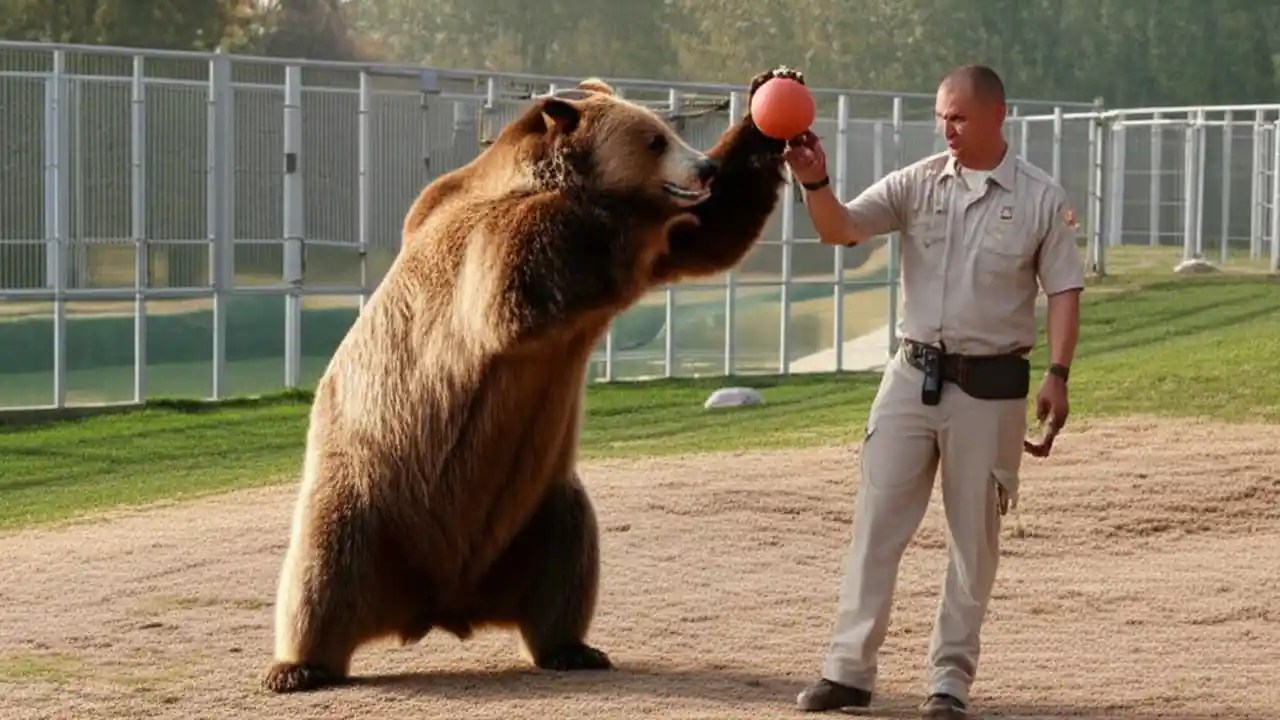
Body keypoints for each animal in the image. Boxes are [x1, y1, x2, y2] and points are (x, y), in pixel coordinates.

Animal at [262, 66, 804, 693]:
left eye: (669, 131)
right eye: (654, 141)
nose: (703, 170)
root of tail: (442, 604)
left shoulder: (661, 249)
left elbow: (715, 229)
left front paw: (769, 104)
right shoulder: (486, 249)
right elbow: (515, 287)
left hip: (538, 508)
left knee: (570, 560)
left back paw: (573, 648)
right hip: (371, 491)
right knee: (323, 570)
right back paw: (298, 667)